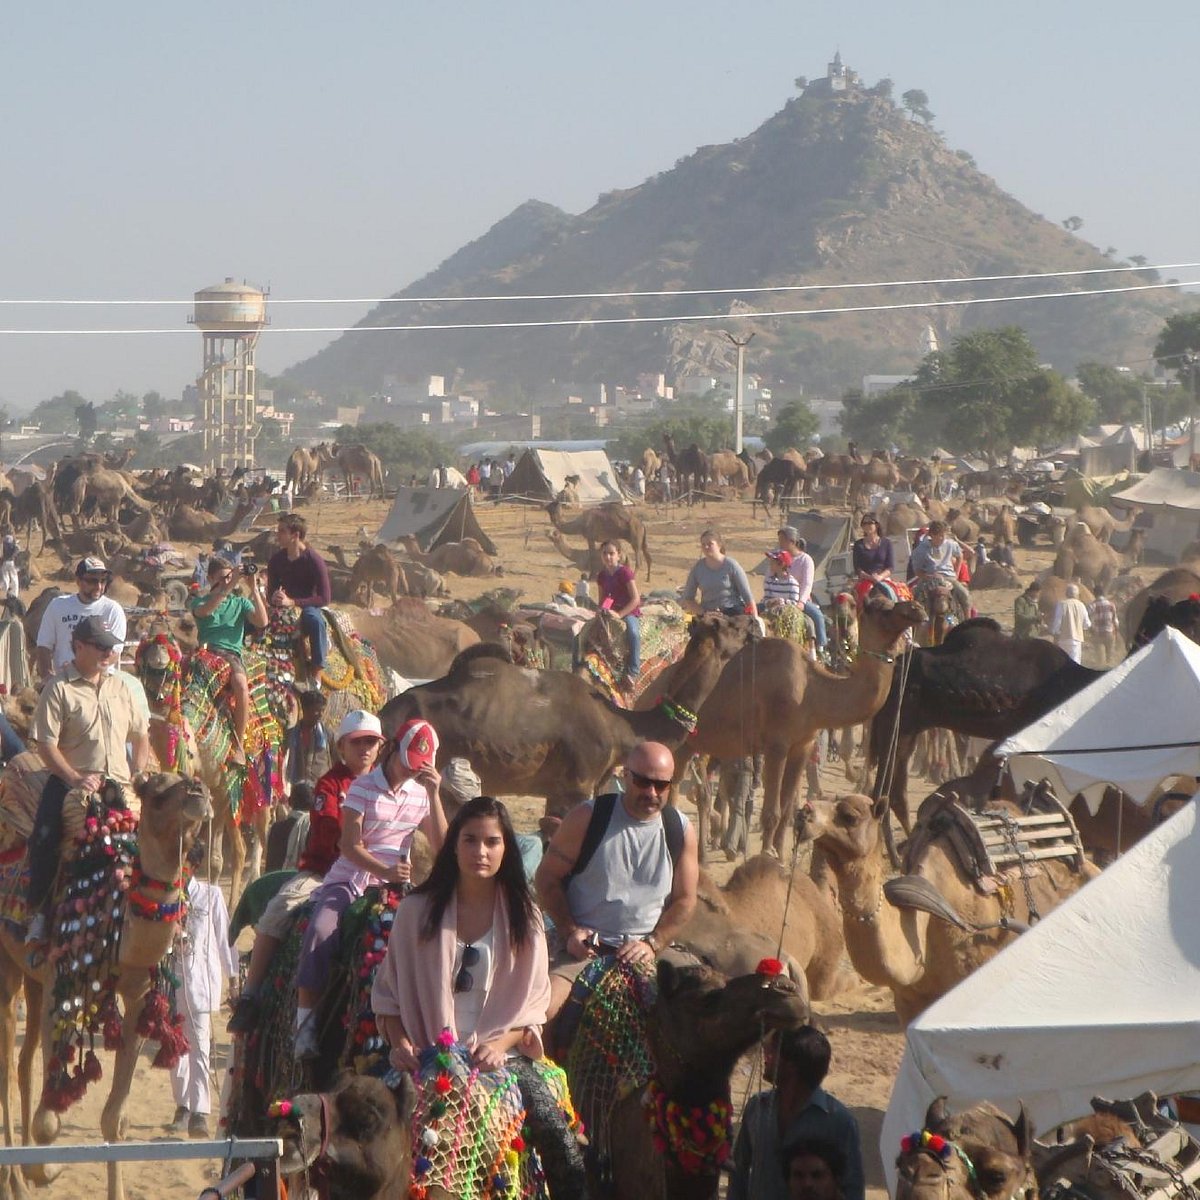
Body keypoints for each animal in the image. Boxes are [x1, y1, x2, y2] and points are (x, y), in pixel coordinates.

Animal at [0, 768, 211, 1200]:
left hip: (31, 977)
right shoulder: (62, 989)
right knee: (5, 1069)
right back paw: (15, 1179)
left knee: (23, 1063)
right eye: (158, 792)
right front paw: (48, 1172)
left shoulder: (138, 997)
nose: (199, 791)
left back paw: (20, 1179)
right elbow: (49, 1121)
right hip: (8, 969)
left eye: (190, 779)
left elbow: (115, 1118)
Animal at [379, 614, 758, 820]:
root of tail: (383, 714)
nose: (753, 622)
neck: (623, 728)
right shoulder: (579, 785)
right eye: (727, 623)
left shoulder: (561, 789)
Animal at [676, 595, 926, 859]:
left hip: (691, 744)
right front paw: (766, 855)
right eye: (880, 608)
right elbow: (771, 812)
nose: (916, 609)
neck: (812, 690)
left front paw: (780, 856)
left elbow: (786, 809)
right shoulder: (776, 745)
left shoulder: (803, 744)